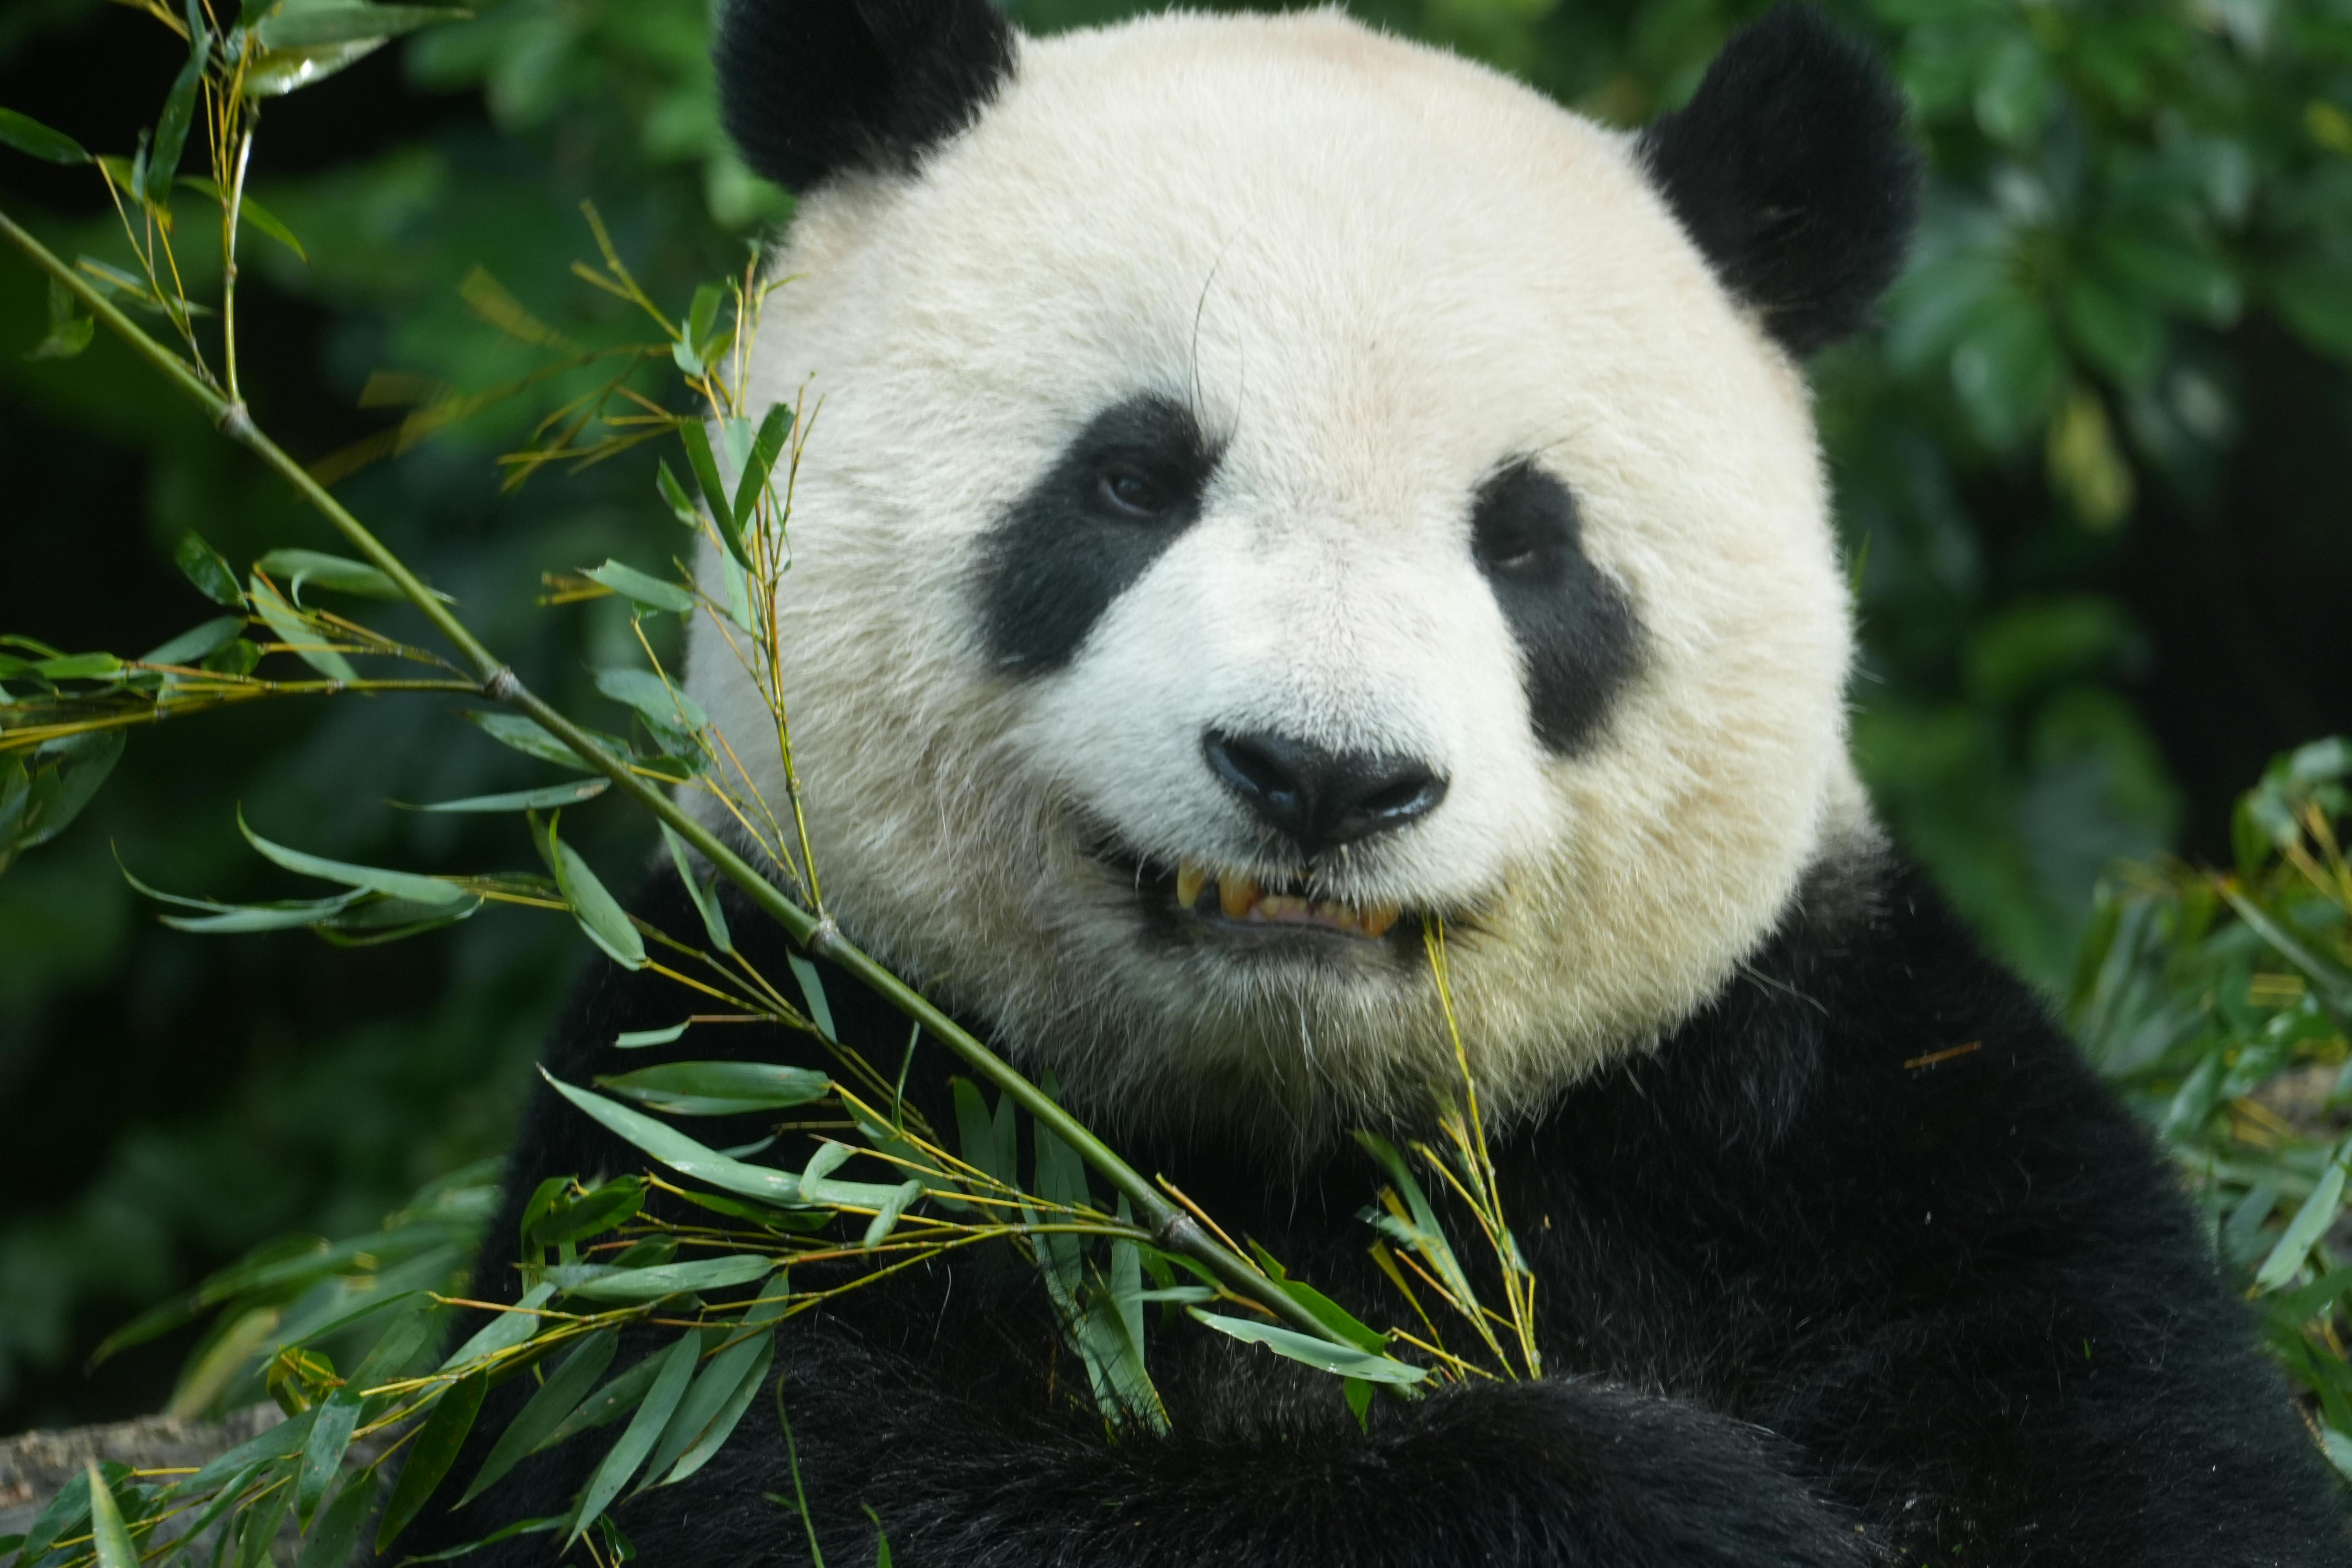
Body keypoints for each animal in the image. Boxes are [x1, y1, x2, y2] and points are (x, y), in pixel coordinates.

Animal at [420, 3, 2352, 1564]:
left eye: (1531, 546)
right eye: (1132, 478)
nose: (1322, 776)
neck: (1294, 1152)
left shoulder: (1855, 1129)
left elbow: (2147, 1457)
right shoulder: (746, 1114)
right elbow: (761, 1465)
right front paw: (1653, 1507)